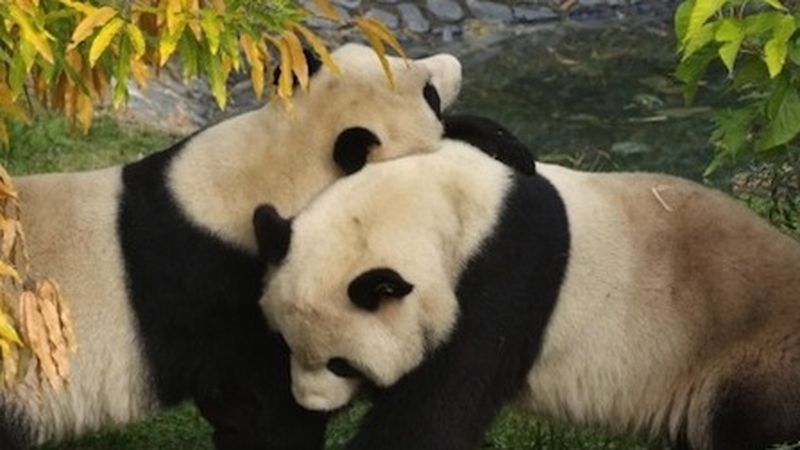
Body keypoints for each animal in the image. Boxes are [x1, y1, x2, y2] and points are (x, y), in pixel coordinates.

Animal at [254, 125, 800, 450]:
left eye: (342, 364)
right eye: (285, 344)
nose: (310, 405)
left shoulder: (503, 282)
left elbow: (435, 415)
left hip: (750, 357)